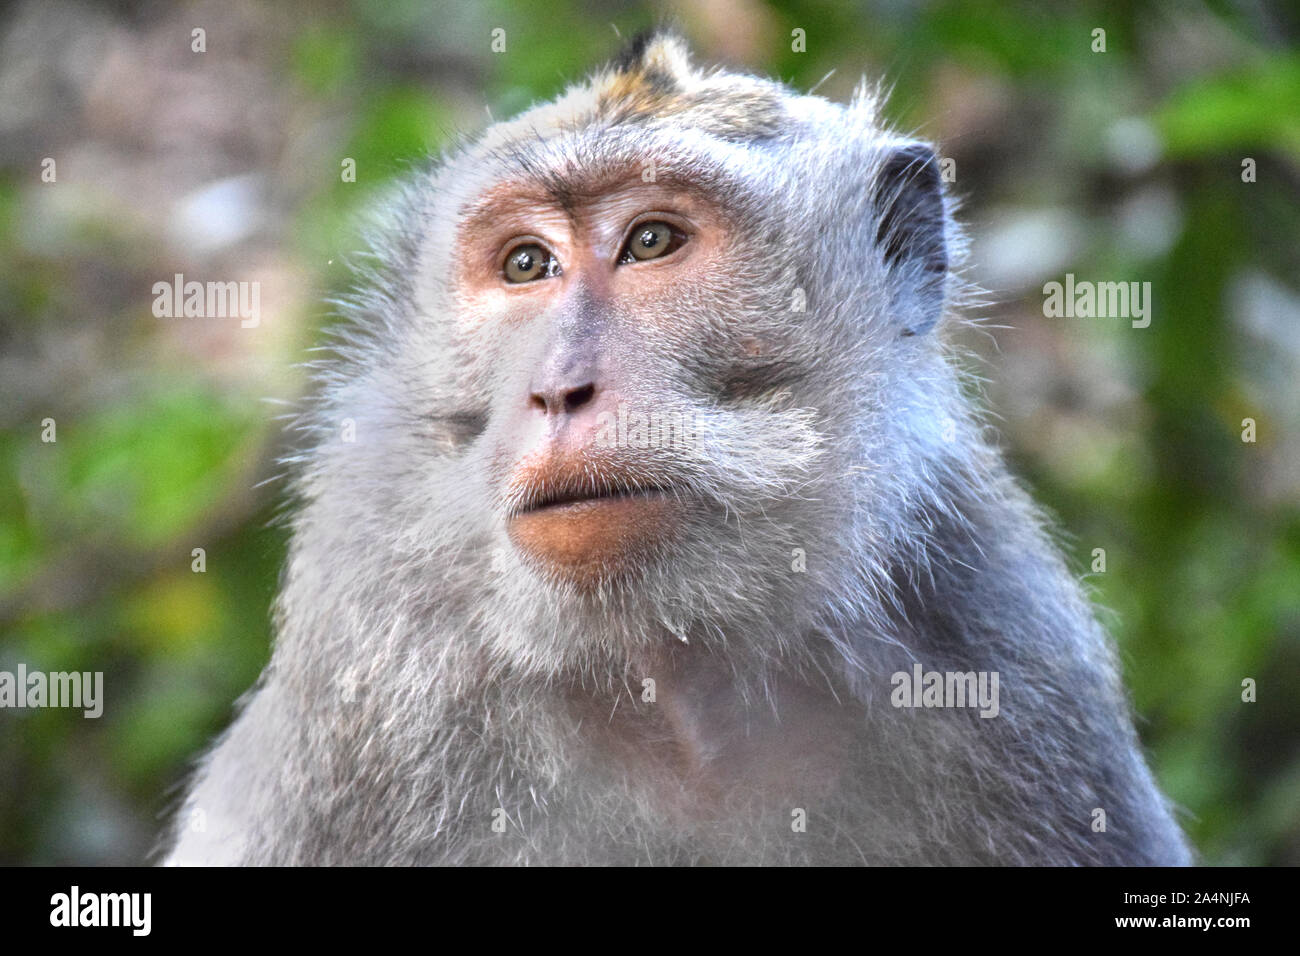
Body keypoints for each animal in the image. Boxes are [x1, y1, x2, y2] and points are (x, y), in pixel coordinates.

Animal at [162, 32, 1191, 866]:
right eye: (527, 264)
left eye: (652, 241)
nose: (557, 388)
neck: (671, 677)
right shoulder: (365, 685)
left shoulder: (1001, 649)